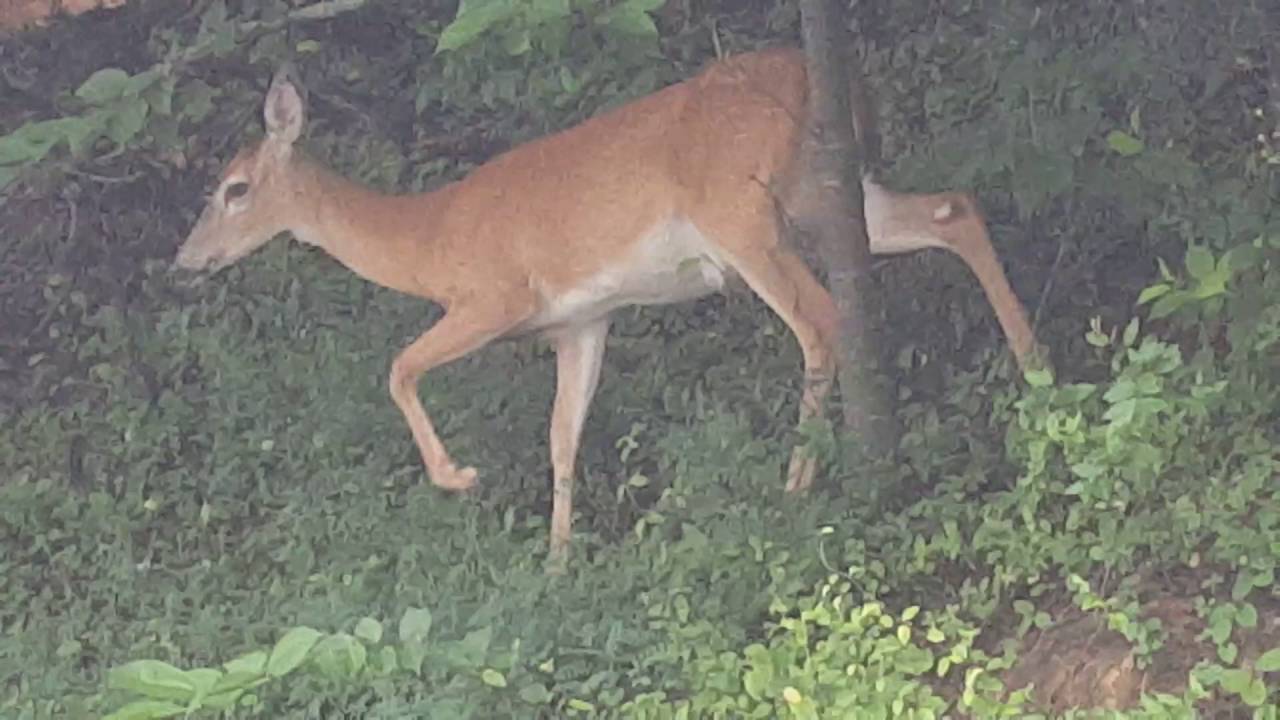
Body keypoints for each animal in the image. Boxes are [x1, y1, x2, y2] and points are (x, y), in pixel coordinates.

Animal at [173, 47, 1040, 570]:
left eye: (235, 188)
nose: (185, 260)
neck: (431, 240)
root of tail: (836, 80)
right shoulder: (580, 319)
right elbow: (562, 433)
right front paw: (558, 561)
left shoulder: (497, 296)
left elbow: (398, 367)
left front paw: (460, 477)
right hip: (829, 194)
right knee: (953, 210)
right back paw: (1037, 368)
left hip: (744, 214)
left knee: (821, 319)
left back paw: (797, 485)